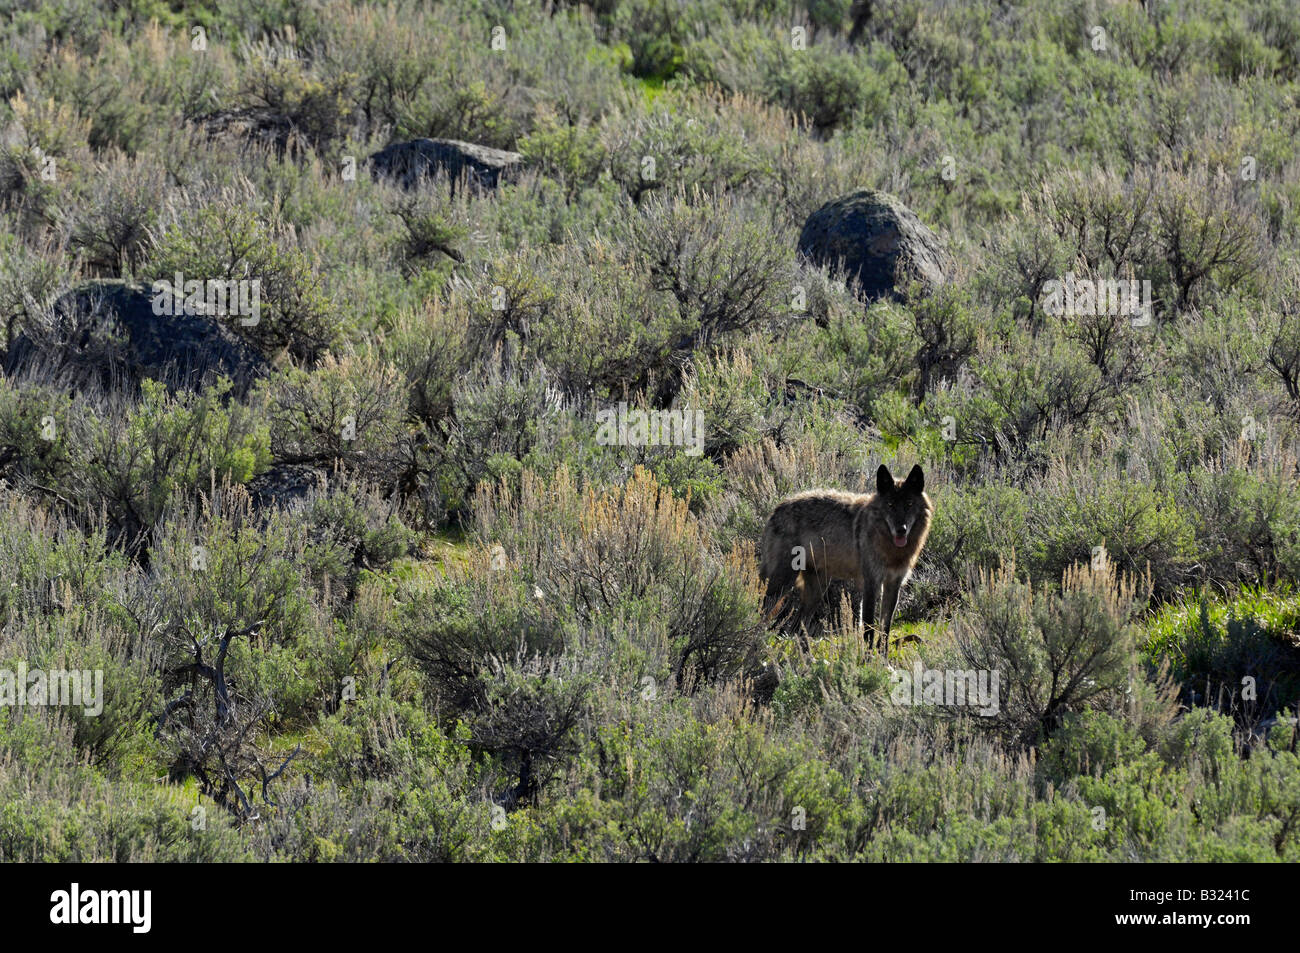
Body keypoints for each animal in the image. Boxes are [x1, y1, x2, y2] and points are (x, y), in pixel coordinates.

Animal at [759, 464, 933, 646]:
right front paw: (867, 654)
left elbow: (885, 629)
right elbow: (869, 628)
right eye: (890, 504)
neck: (891, 550)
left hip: (815, 591)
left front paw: (882, 654)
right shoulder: (871, 583)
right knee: (761, 614)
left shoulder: (893, 584)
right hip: (782, 584)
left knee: (796, 627)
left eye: (909, 504)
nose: (901, 530)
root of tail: (776, 509)